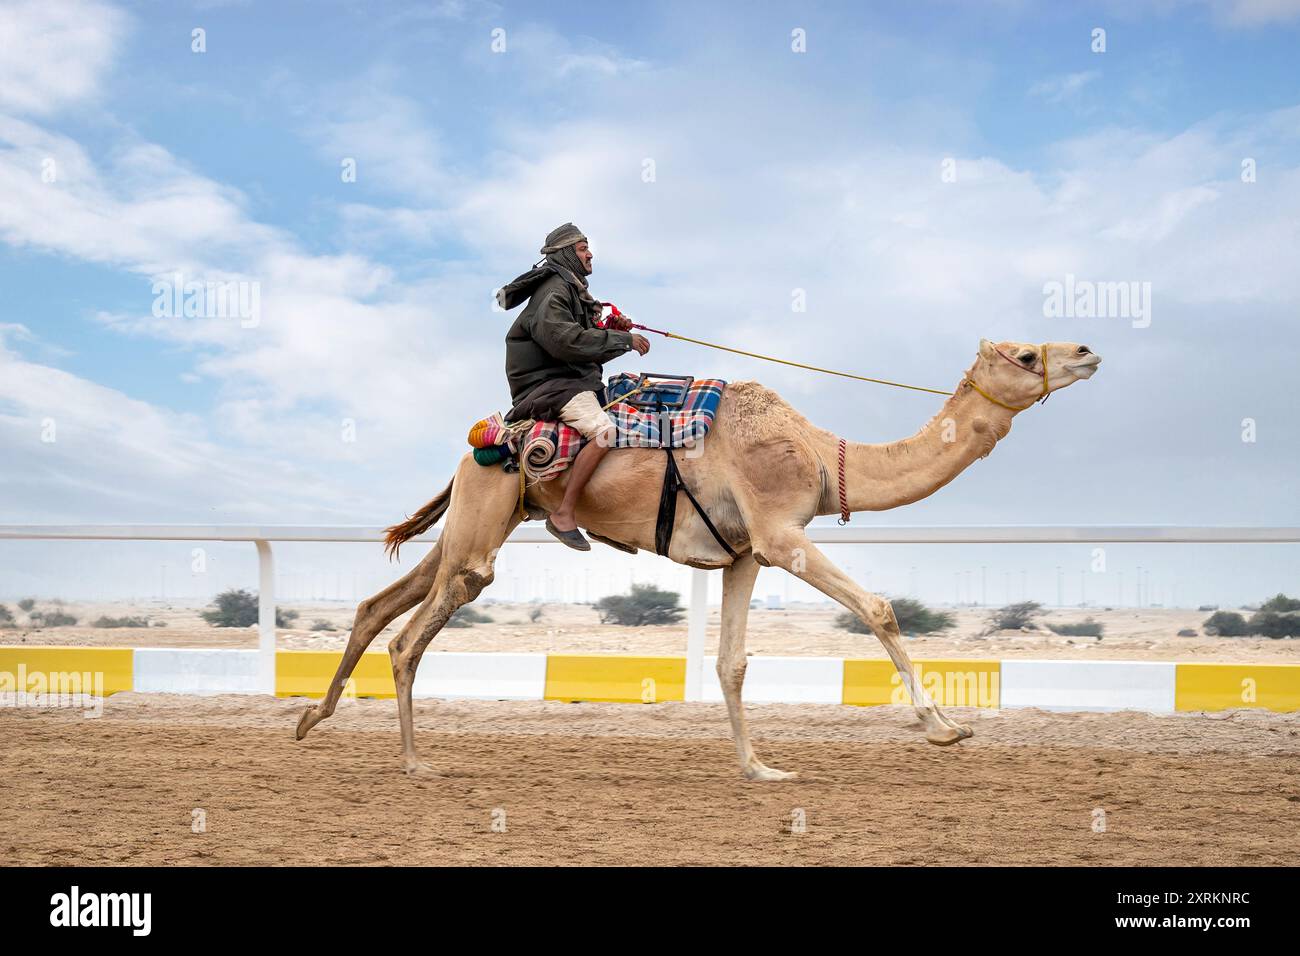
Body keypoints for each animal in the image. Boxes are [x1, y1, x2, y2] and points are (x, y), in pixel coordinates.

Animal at [295, 338, 1101, 779]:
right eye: (1027, 354)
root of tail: (484, 439)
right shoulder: (781, 534)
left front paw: (759, 766)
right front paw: (944, 727)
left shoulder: (746, 554)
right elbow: (878, 607)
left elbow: (731, 662)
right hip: (483, 524)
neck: (819, 456)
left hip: (475, 517)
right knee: (413, 632)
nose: (1088, 351)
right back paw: (412, 761)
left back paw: (311, 718)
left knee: (378, 604)